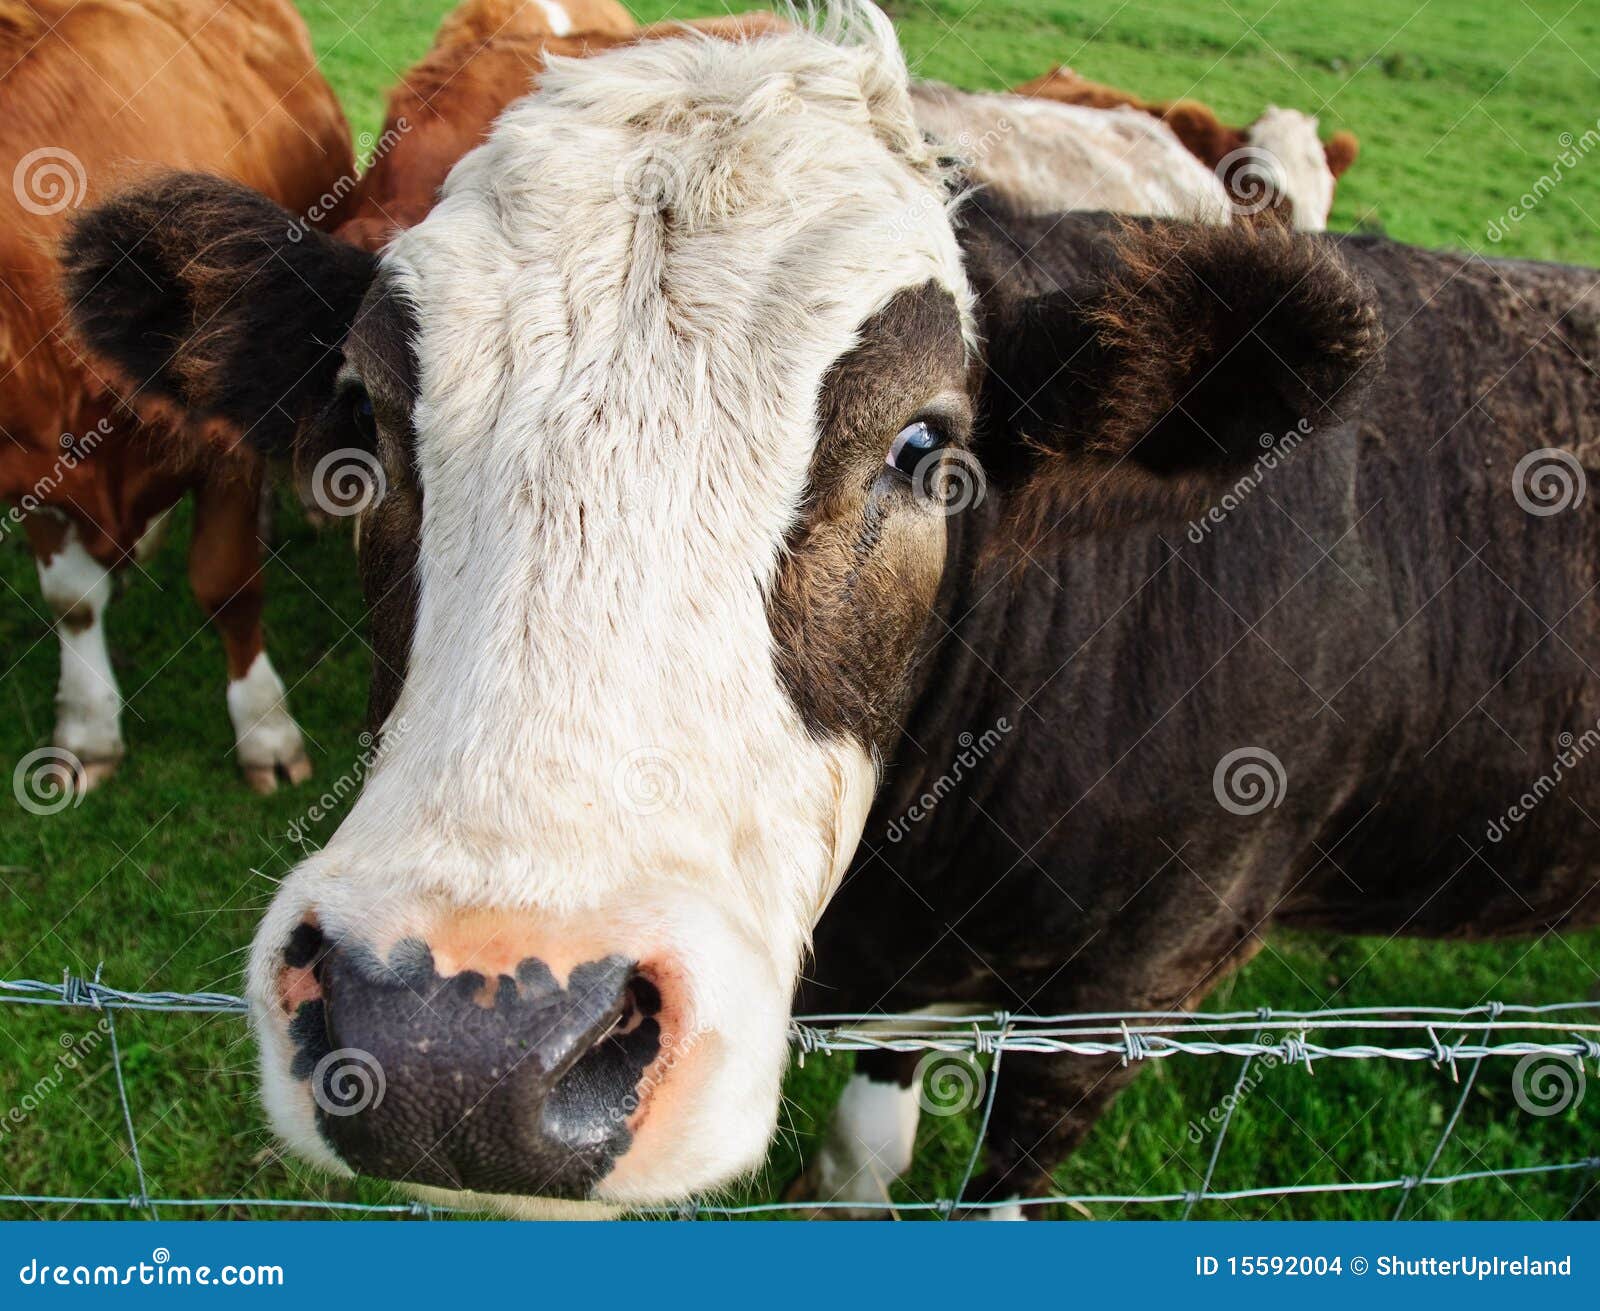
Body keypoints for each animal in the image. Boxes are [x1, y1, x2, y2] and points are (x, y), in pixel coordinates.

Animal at [1, 0, 353, 794]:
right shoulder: (28, 469)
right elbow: (71, 599)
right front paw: (89, 727)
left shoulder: (221, 440)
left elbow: (226, 582)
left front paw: (265, 731)